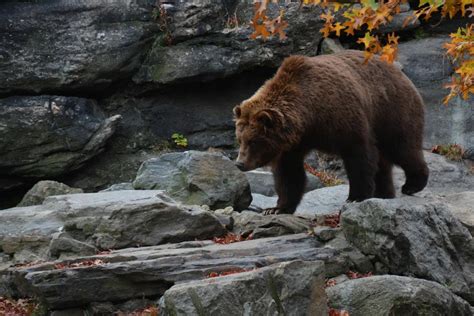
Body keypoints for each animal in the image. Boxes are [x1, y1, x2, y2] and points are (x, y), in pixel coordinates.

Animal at [233, 49, 430, 215]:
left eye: (253, 141)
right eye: (240, 139)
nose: (240, 163)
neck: (309, 117)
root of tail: (400, 73)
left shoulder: (342, 118)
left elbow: (360, 156)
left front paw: (355, 197)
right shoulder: (292, 145)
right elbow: (289, 174)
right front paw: (277, 208)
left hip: (391, 110)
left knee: (402, 147)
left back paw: (412, 184)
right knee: (385, 161)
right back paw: (385, 194)